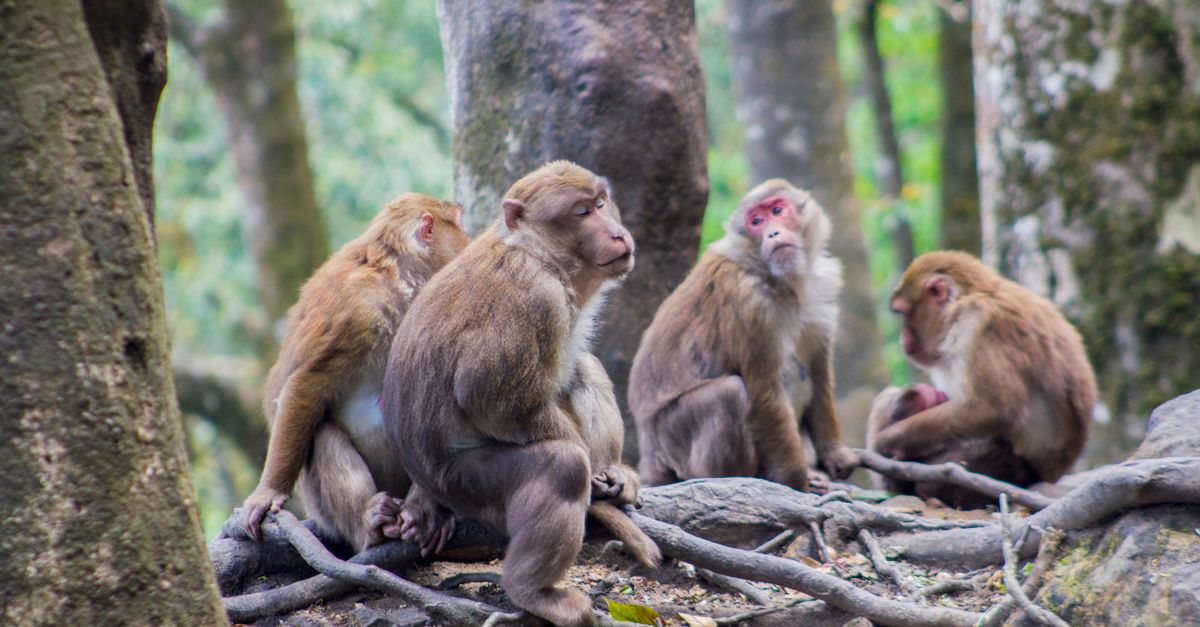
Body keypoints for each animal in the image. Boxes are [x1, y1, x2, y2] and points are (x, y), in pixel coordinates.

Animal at [239, 193, 470, 552]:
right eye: (459, 224)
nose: (472, 241)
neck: (400, 284)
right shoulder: (356, 312)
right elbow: (304, 384)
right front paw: (269, 492)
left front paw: (426, 511)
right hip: (325, 510)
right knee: (321, 434)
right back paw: (369, 523)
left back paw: (426, 513)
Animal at [382, 161, 655, 627]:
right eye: (582, 212)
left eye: (601, 203)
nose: (618, 233)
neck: (540, 254)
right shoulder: (536, 297)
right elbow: (486, 397)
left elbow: (570, 374)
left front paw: (614, 476)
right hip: (464, 483)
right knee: (561, 466)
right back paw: (533, 591)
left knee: (585, 370)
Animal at [628, 179, 858, 494]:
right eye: (756, 222)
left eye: (777, 210)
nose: (773, 232)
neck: (782, 281)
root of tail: (648, 453)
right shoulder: (749, 303)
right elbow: (765, 389)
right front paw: (799, 484)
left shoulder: (822, 288)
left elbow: (818, 370)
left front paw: (835, 454)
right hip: (672, 442)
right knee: (729, 393)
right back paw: (737, 477)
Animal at [869, 250, 1096, 508]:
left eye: (904, 313)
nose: (902, 338)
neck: (967, 298)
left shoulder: (980, 322)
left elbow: (993, 410)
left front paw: (888, 441)